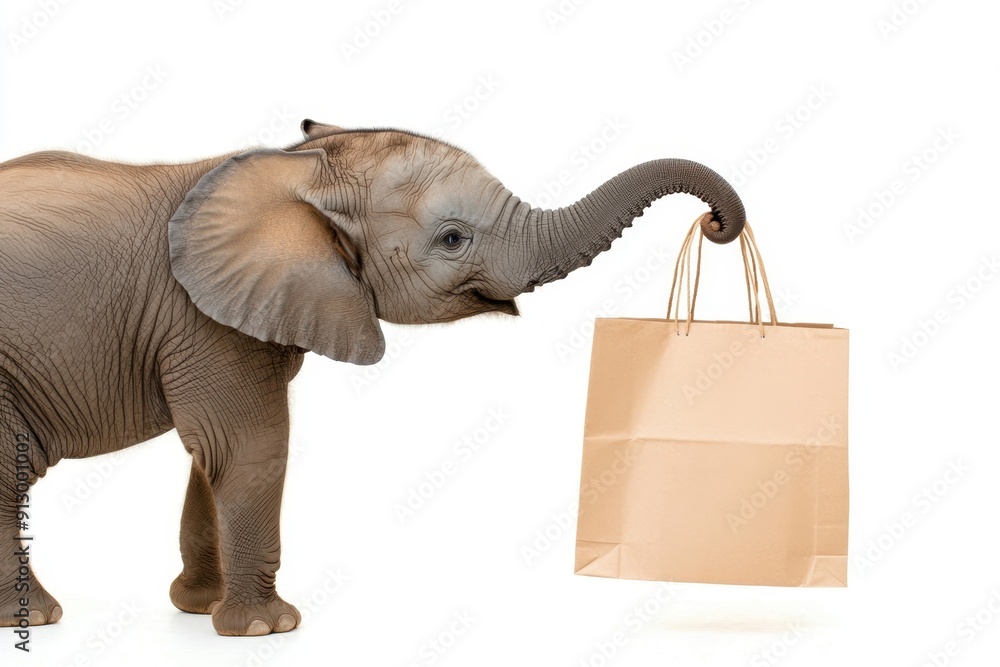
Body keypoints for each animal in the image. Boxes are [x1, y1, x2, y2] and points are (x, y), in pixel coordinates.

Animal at [0, 118, 745, 636]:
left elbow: (210, 455)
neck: (294, 169)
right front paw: (267, 630)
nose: (717, 223)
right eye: (452, 239)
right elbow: (248, 448)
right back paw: (35, 620)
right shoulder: (201, 318)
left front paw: (200, 609)